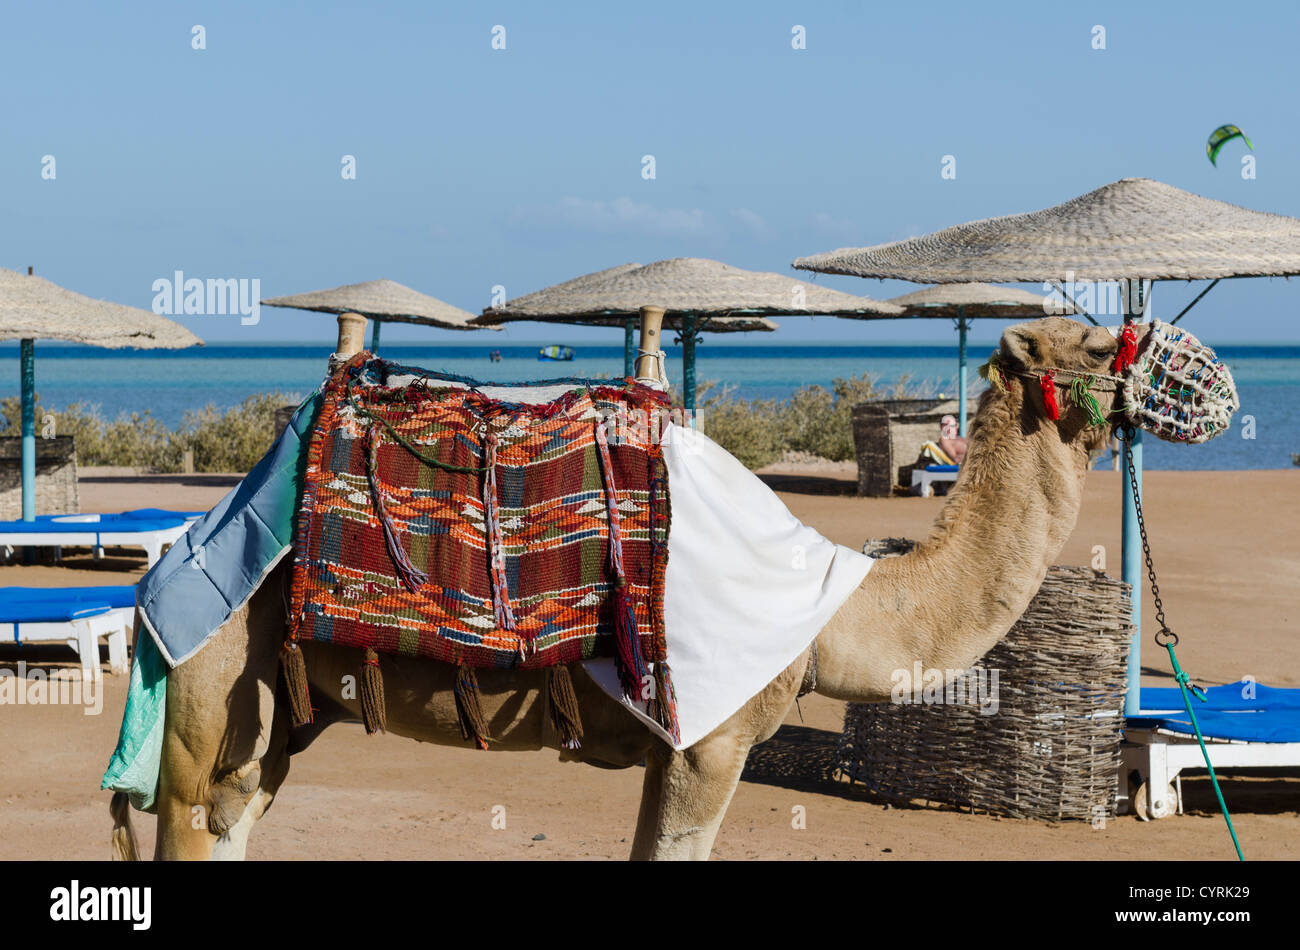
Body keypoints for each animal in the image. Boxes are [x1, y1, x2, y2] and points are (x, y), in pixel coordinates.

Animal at [109, 315, 1129, 861]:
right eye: (1096, 343)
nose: (1161, 349)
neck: (827, 608)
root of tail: (178, 554)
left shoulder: (680, 751)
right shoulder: (710, 744)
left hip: (275, 716)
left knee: (237, 808)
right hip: (213, 674)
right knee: (190, 819)